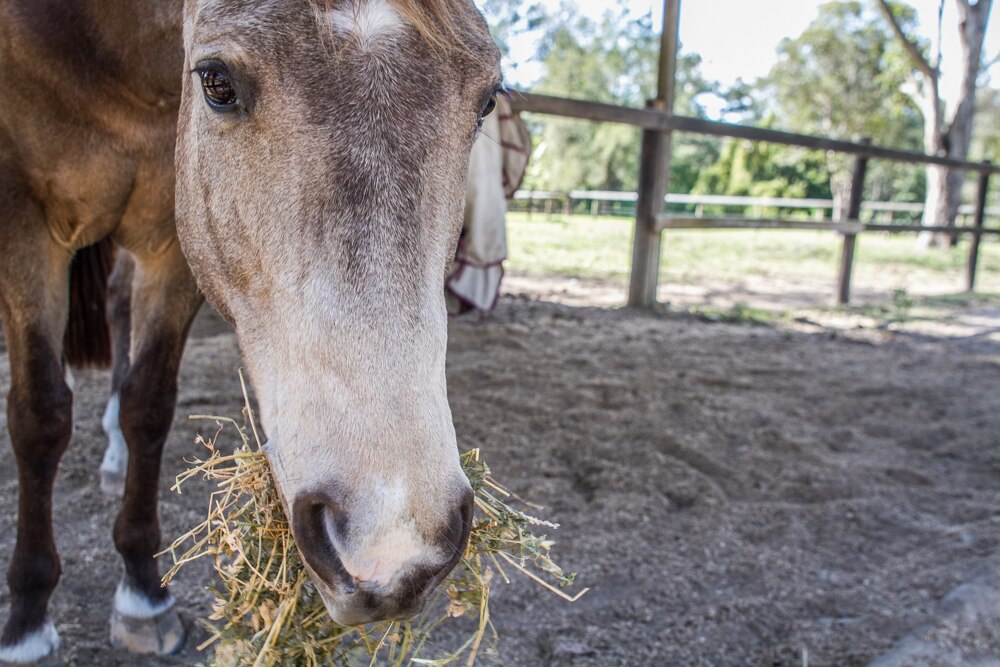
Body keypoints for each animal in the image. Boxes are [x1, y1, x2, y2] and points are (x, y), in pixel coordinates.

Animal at [0, 0, 501, 663]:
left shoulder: (170, 241)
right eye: (216, 82)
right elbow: (40, 417)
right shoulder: (21, 221)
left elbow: (148, 406)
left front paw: (142, 593)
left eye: (488, 99)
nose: (391, 546)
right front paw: (27, 621)